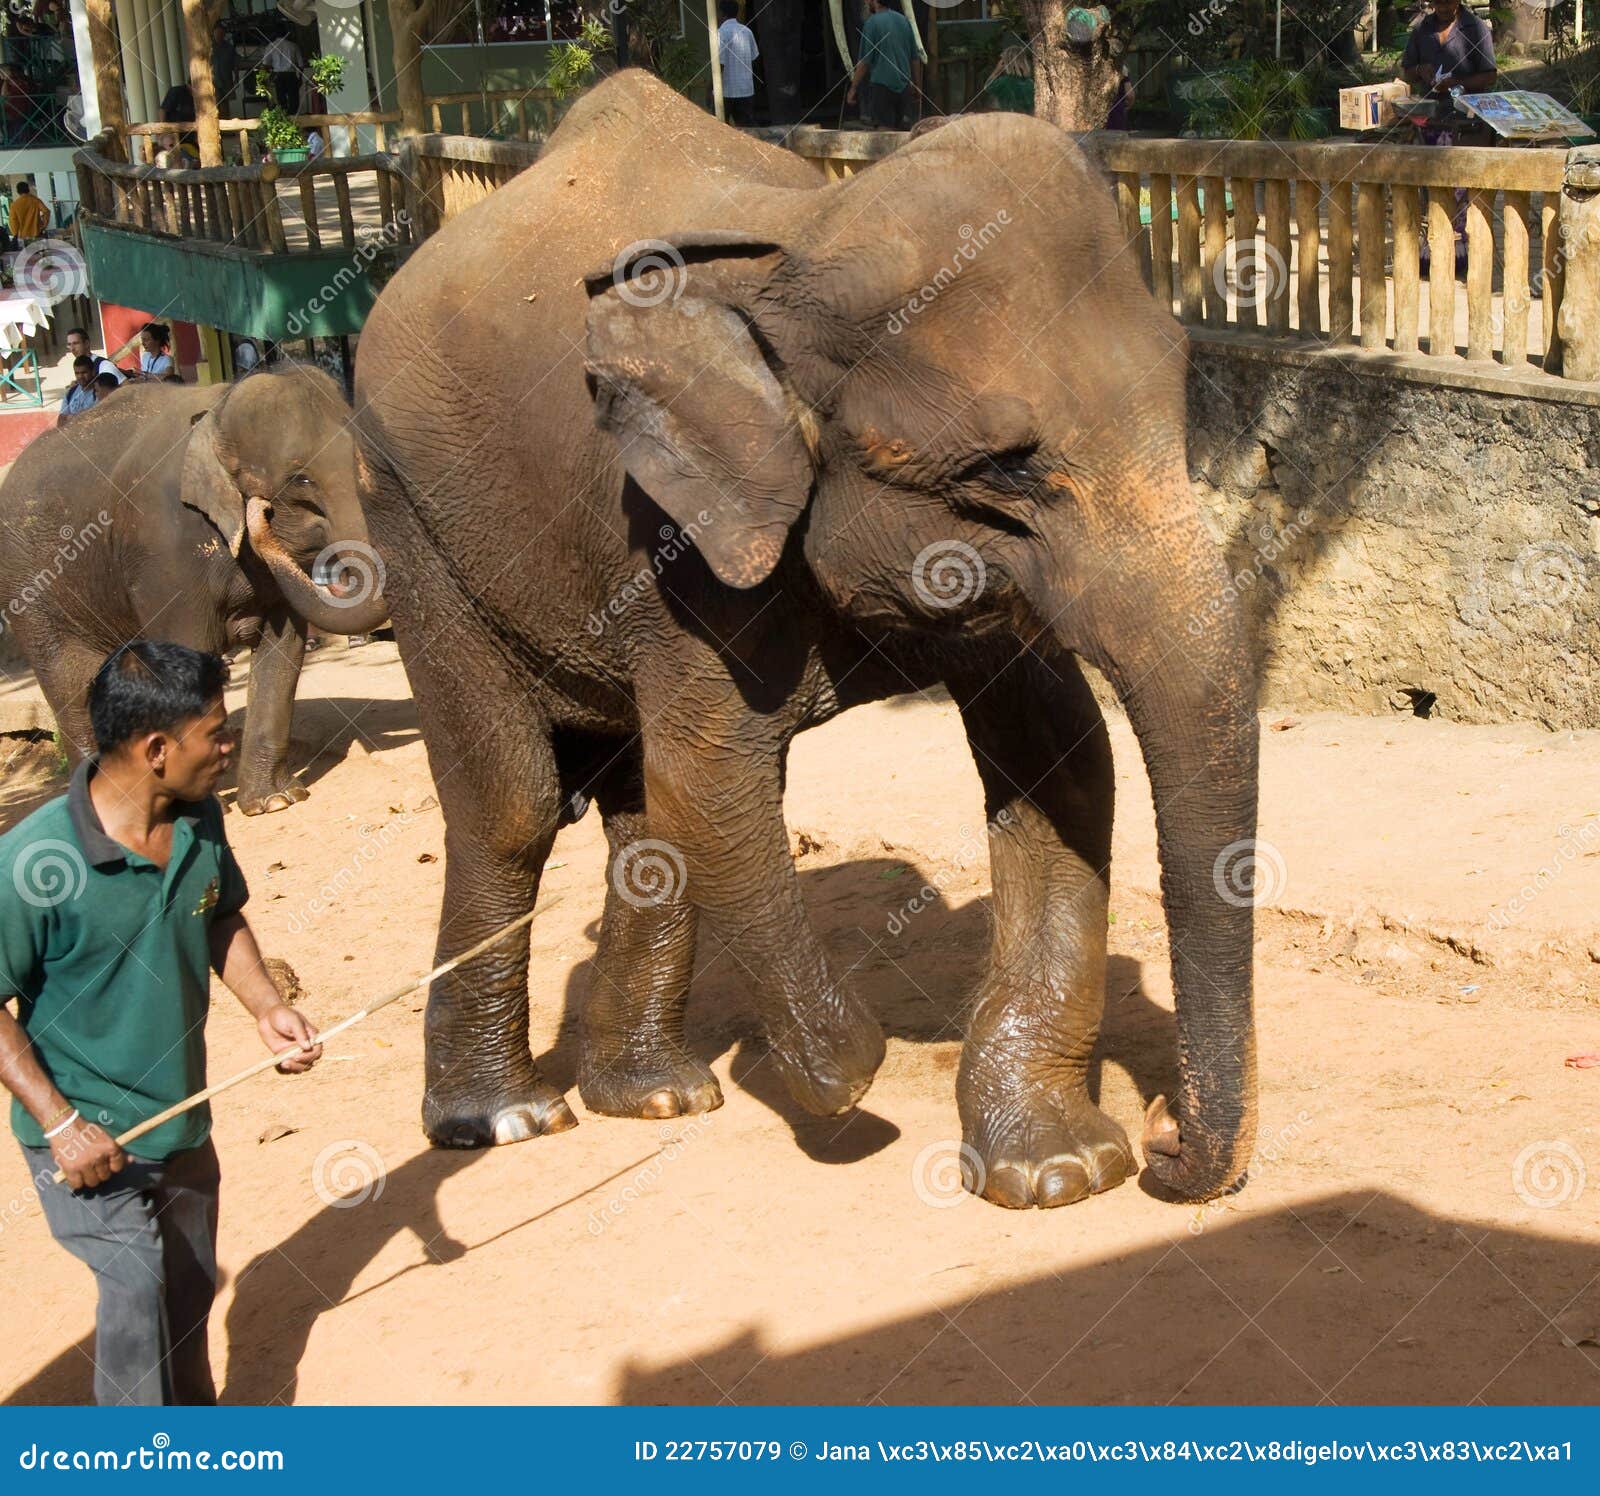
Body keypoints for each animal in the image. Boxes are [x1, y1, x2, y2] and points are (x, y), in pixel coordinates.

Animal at [0, 365, 389, 813]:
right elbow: (188, 653)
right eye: (300, 480)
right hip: (31, 594)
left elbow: (283, 649)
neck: (216, 413)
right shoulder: (164, 555)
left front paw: (275, 801)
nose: (260, 512)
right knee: (73, 685)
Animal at [353, 70, 1259, 1208]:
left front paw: (1060, 1171)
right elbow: (709, 772)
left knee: (638, 812)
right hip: (407, 516)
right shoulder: (673, 538)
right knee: (516, 805)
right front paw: (851, 1074)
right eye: (1006, 468)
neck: (801, 246)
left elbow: (1058, 750)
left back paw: (653, 1096)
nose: (1168, 1137)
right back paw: (503, 1119)